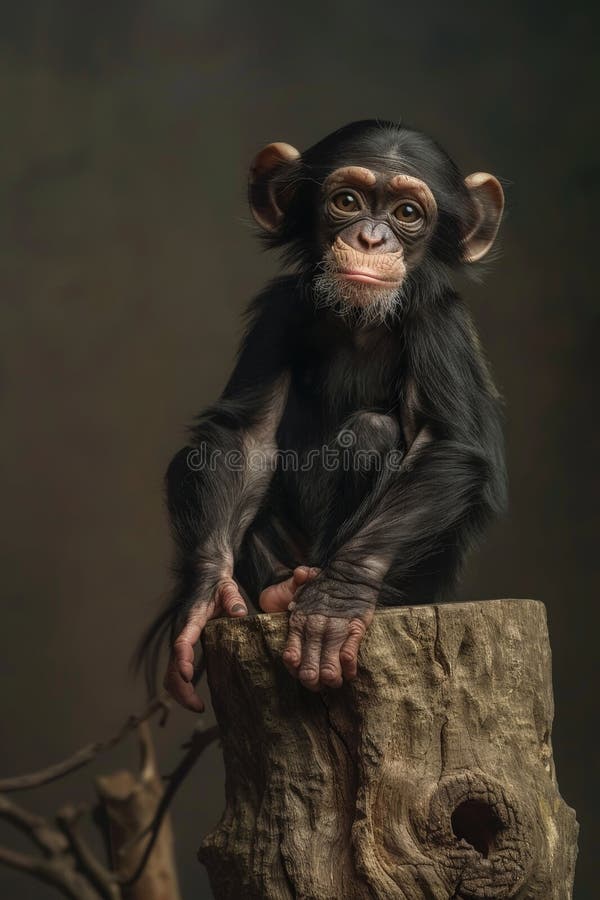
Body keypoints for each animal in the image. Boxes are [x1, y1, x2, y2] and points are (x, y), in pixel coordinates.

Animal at [137, 119, 507, 712]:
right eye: (347, 201)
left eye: (407, 213)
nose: (372, 239)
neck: (358, 318)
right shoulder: (279, 309)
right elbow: (248, 438)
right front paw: (205, 594)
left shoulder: (438, 321)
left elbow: (444, 444)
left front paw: (337, 599)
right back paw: (277, 589)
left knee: (372, 433)